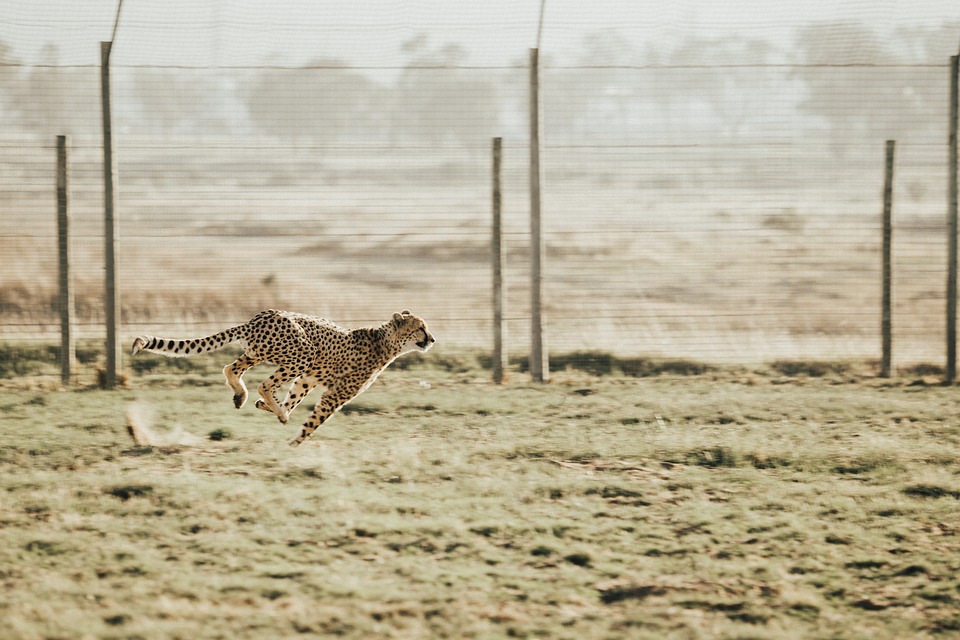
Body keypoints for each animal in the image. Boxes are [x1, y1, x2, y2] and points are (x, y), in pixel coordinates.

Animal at [131, 309, 435, 447]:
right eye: (420, 328)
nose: (432, 339)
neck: (385, 341)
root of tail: (259, 317)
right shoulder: (335, 394)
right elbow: (314, 421)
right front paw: (294, 442)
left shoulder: (309, 379)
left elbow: (295, 397)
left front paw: (273, 410)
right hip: (303, 352)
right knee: (263, 383)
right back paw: (271, 407)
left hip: (260, 353)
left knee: (232, 369)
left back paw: (244, 397)